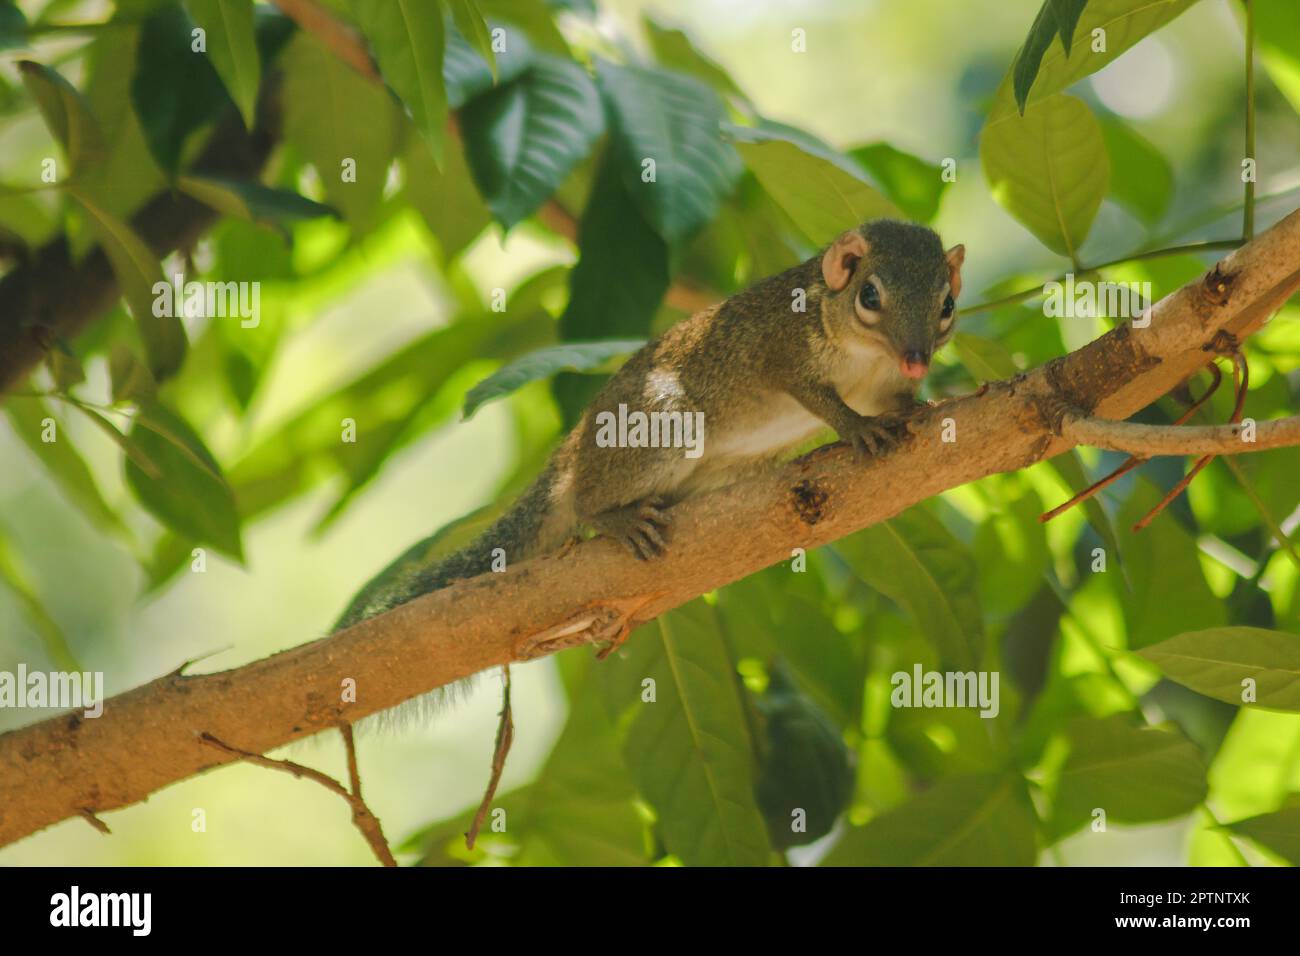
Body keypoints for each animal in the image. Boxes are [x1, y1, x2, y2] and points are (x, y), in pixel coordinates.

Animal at [335, 218, 964, 632]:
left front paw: (921, 404)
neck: (866, 355)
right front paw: (856, 429)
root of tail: (574, 450)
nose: (917, 358)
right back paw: (616, 517)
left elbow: (891, 399)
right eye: (869, 295)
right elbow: (819, 398)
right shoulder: (784, 348)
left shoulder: (883, 381)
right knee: (586, 500)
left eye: (947, 306)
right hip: (659, 422)